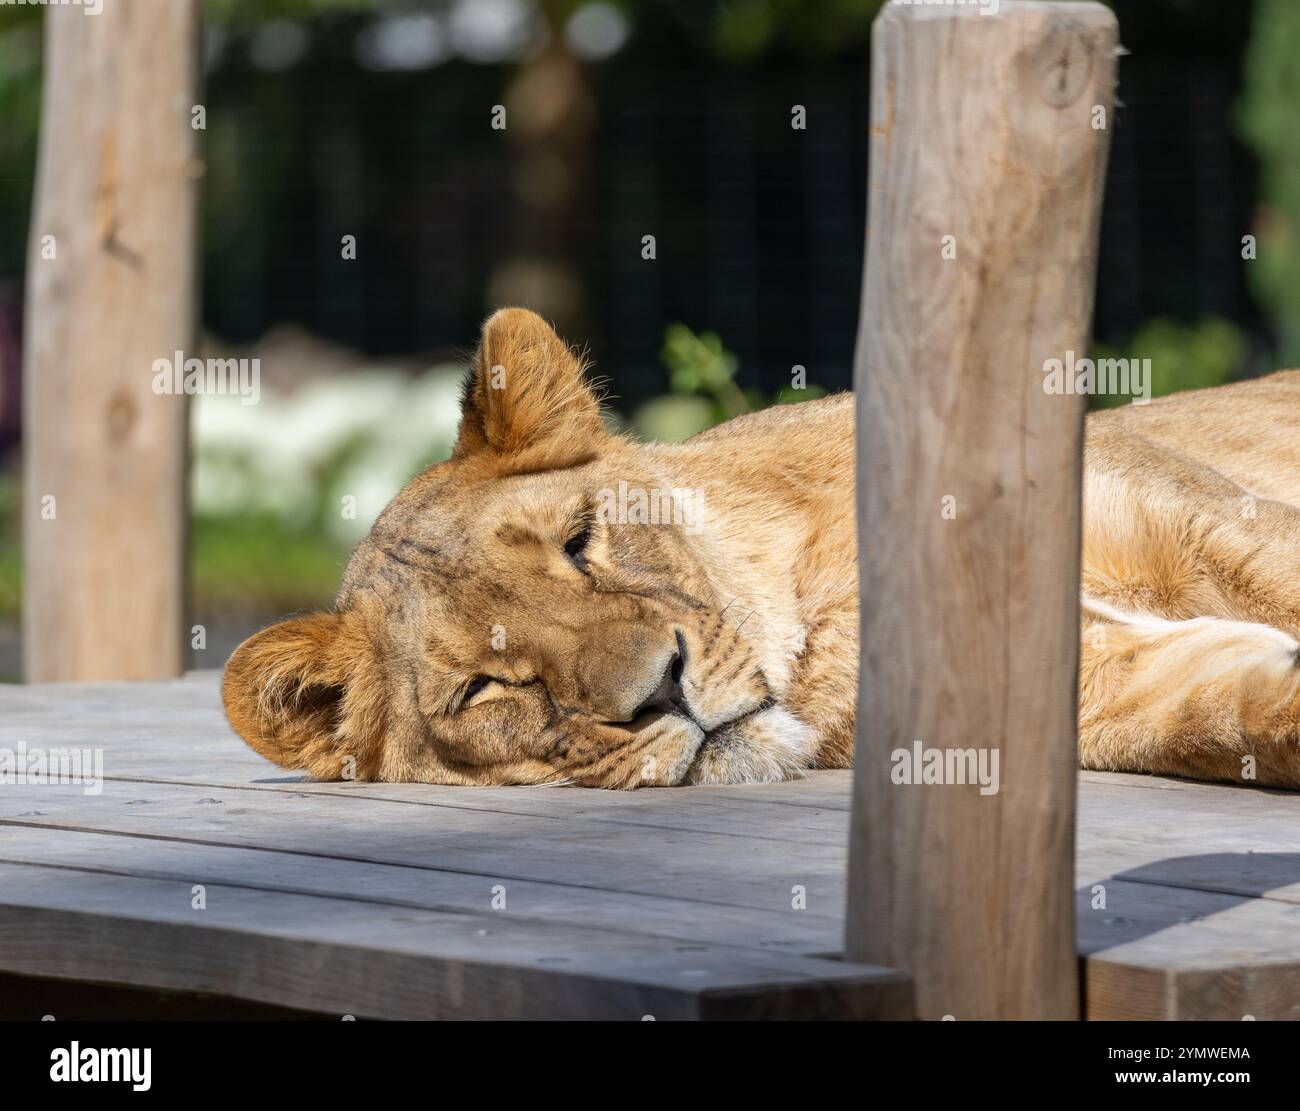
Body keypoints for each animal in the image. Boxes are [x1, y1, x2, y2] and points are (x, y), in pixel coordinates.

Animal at [223, 308, 1300, 789]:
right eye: (487, 689)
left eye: (580, 541)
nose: (660, 691)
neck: (815, 599)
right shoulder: (1101, 688)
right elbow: (1231, 714)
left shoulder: (1203, 518)